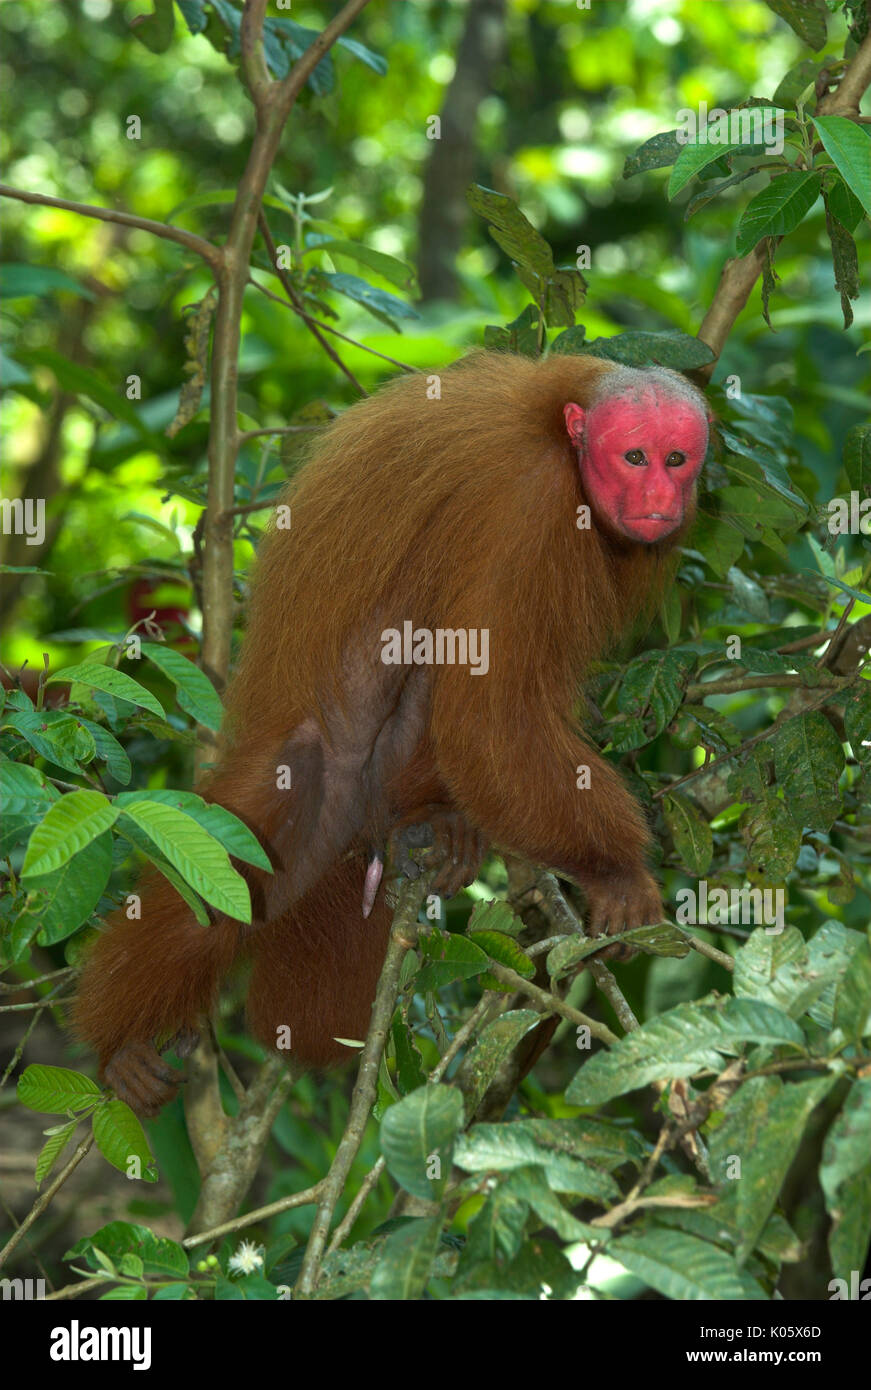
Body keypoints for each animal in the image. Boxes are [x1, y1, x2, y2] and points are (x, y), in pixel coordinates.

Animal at [72, 350, 710, 1116]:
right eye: (635, 457)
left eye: (676, 459)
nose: (661, 496)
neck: (563, 443)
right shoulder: (525, 506)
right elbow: (488, 721)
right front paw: (616, 871)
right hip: (305, 779)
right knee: (222, 874)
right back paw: (122, 1049)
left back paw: (433, 822)